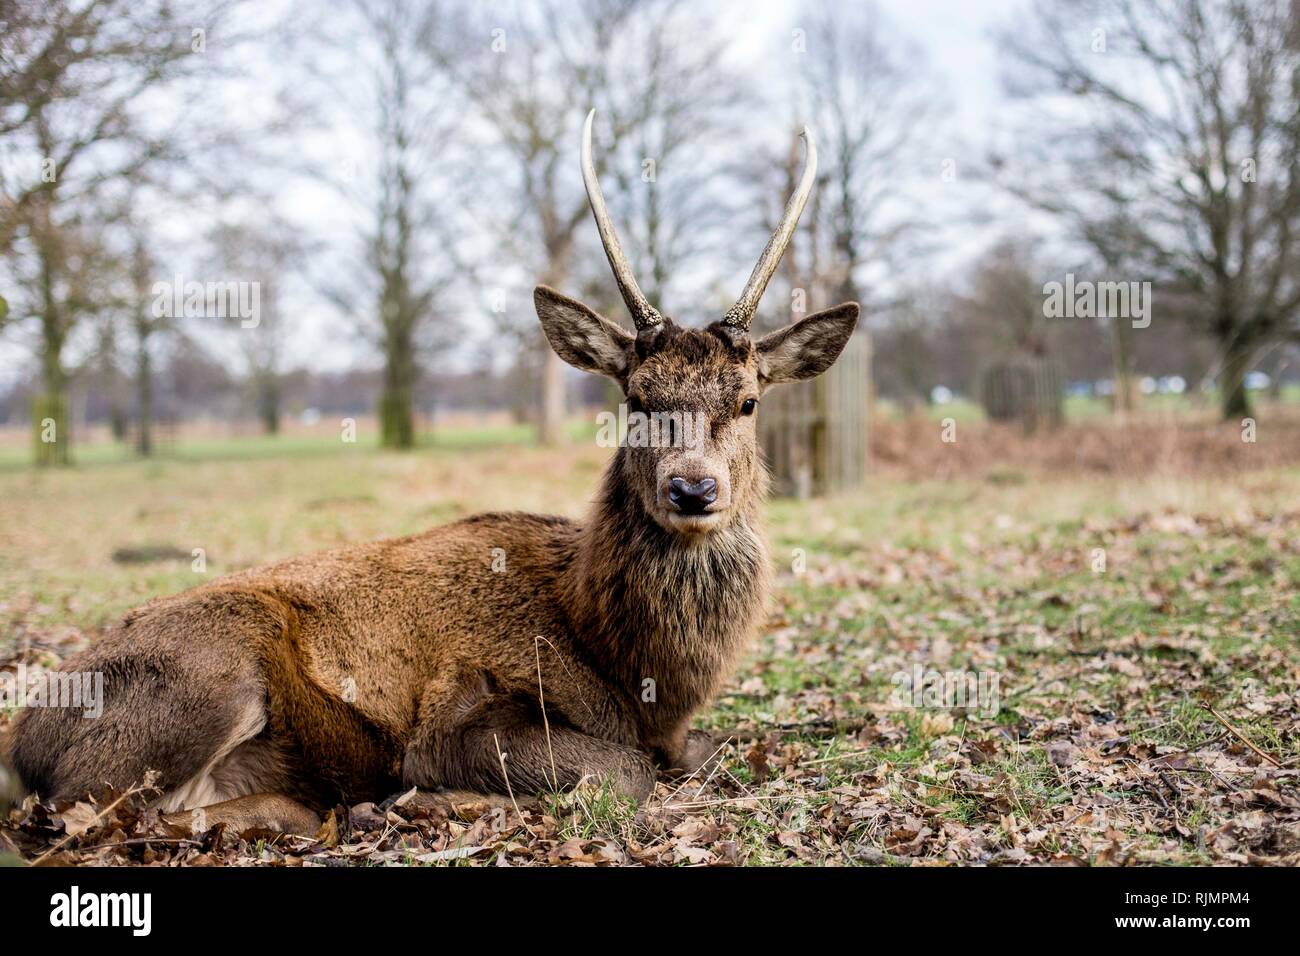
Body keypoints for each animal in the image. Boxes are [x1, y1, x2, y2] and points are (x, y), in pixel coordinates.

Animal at [4, 111, 858, 836]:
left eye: (748, 401)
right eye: (638, 398)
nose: (692, 489)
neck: (632, 672)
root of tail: (20, 747)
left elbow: (716, 752)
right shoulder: (461, 708)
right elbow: (623, 774)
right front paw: (441, 796)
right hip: (207, 670)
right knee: (126, 817)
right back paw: (366, 806)